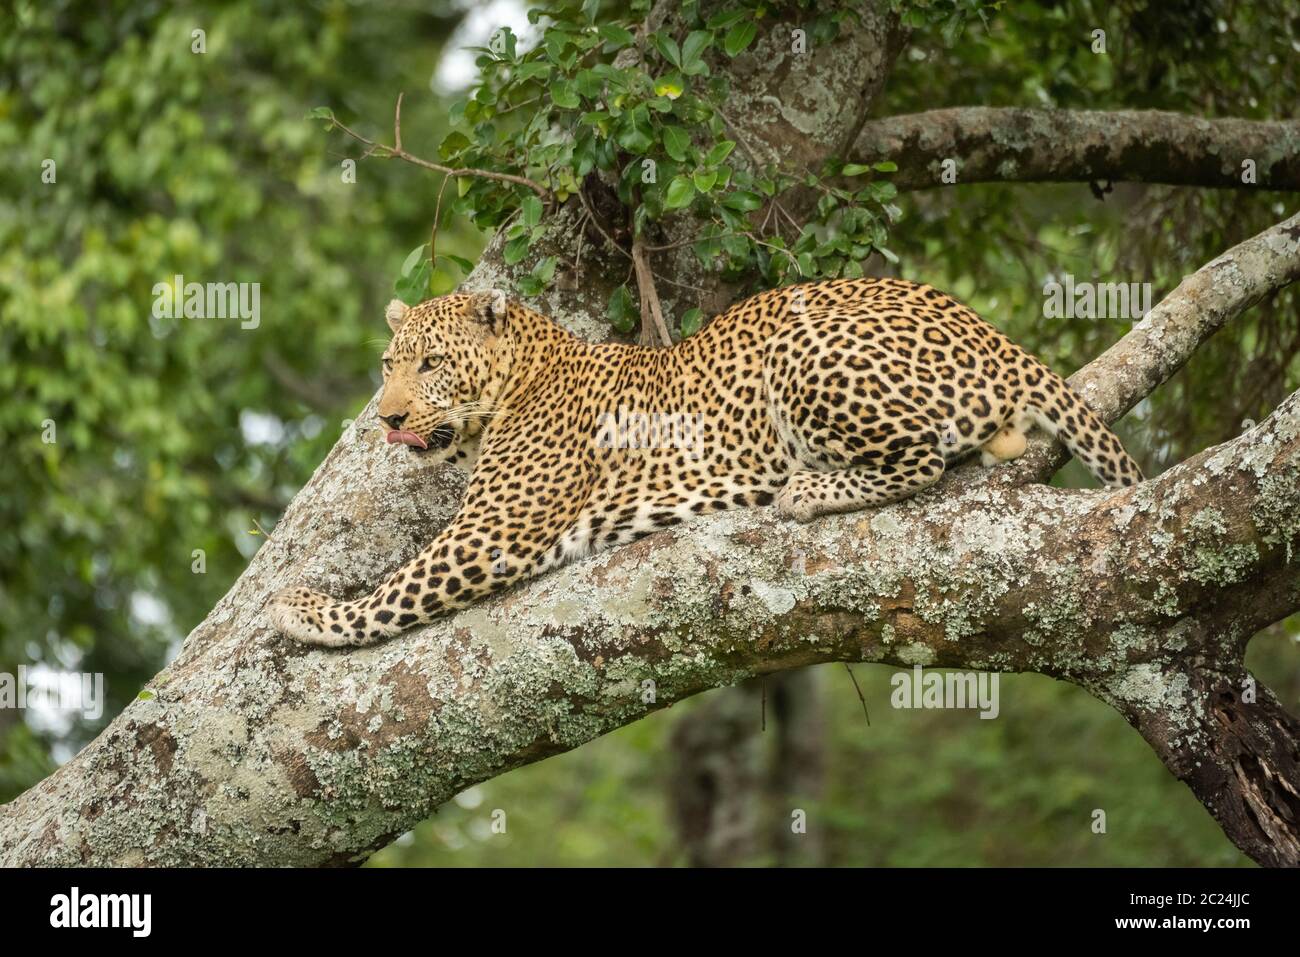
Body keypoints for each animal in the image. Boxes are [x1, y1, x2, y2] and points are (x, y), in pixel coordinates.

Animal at [267, 277, 1142, 647]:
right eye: (389, 364)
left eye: (433, 364)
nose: (388, 418)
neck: (520, 379)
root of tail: (987, 330)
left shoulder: (491, 533)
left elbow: (390, 594)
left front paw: (301, 608)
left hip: (802, 352)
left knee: (920, 458)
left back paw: (805, 488)